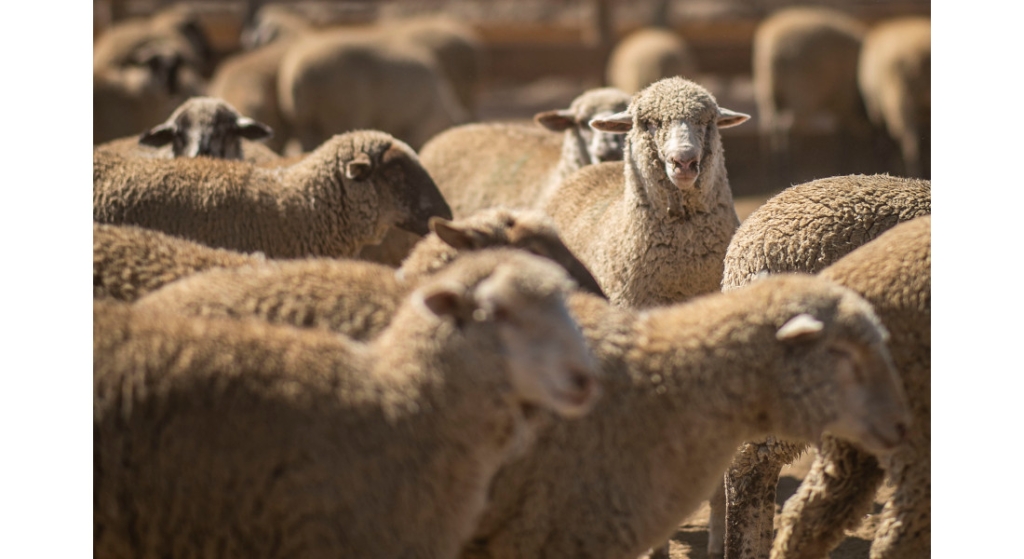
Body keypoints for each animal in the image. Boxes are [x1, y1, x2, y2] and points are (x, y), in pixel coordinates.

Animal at [752, 7, 870, 177]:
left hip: (767, 92)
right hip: (801, 93)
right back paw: (790, 169)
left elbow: (842, 133)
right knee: (789, 128)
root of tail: (773, 48)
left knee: (768, 129)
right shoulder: (845, 102)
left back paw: (772, 170)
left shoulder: (841, 106)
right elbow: (846, 135)